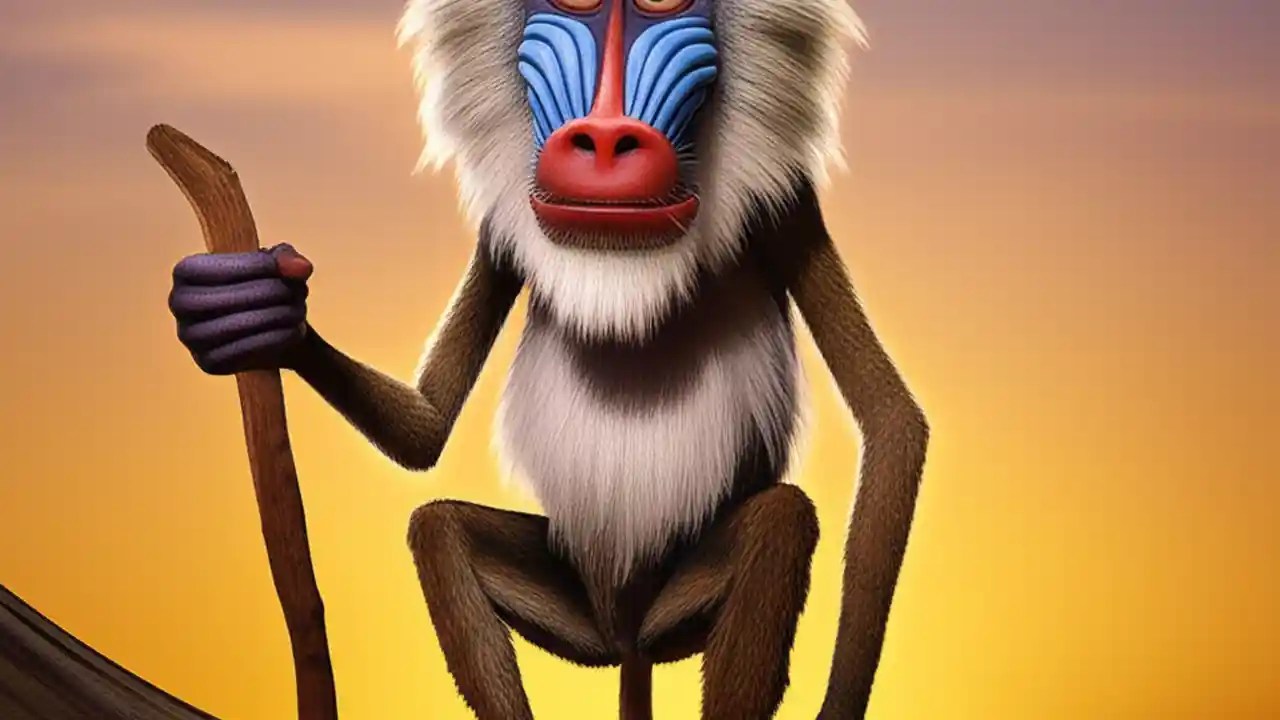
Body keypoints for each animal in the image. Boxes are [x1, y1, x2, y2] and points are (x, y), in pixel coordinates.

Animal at [165, 0, 929, 718]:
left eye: (662, 3)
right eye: (575, 4)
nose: (605, 139)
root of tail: (625, 637)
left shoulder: (789, 205)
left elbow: (892, 420)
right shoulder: (502, 233)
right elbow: (427, 431)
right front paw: (262, 315)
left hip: (674, 614)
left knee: (780, 520)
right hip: (577, 613)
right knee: (439, 531)